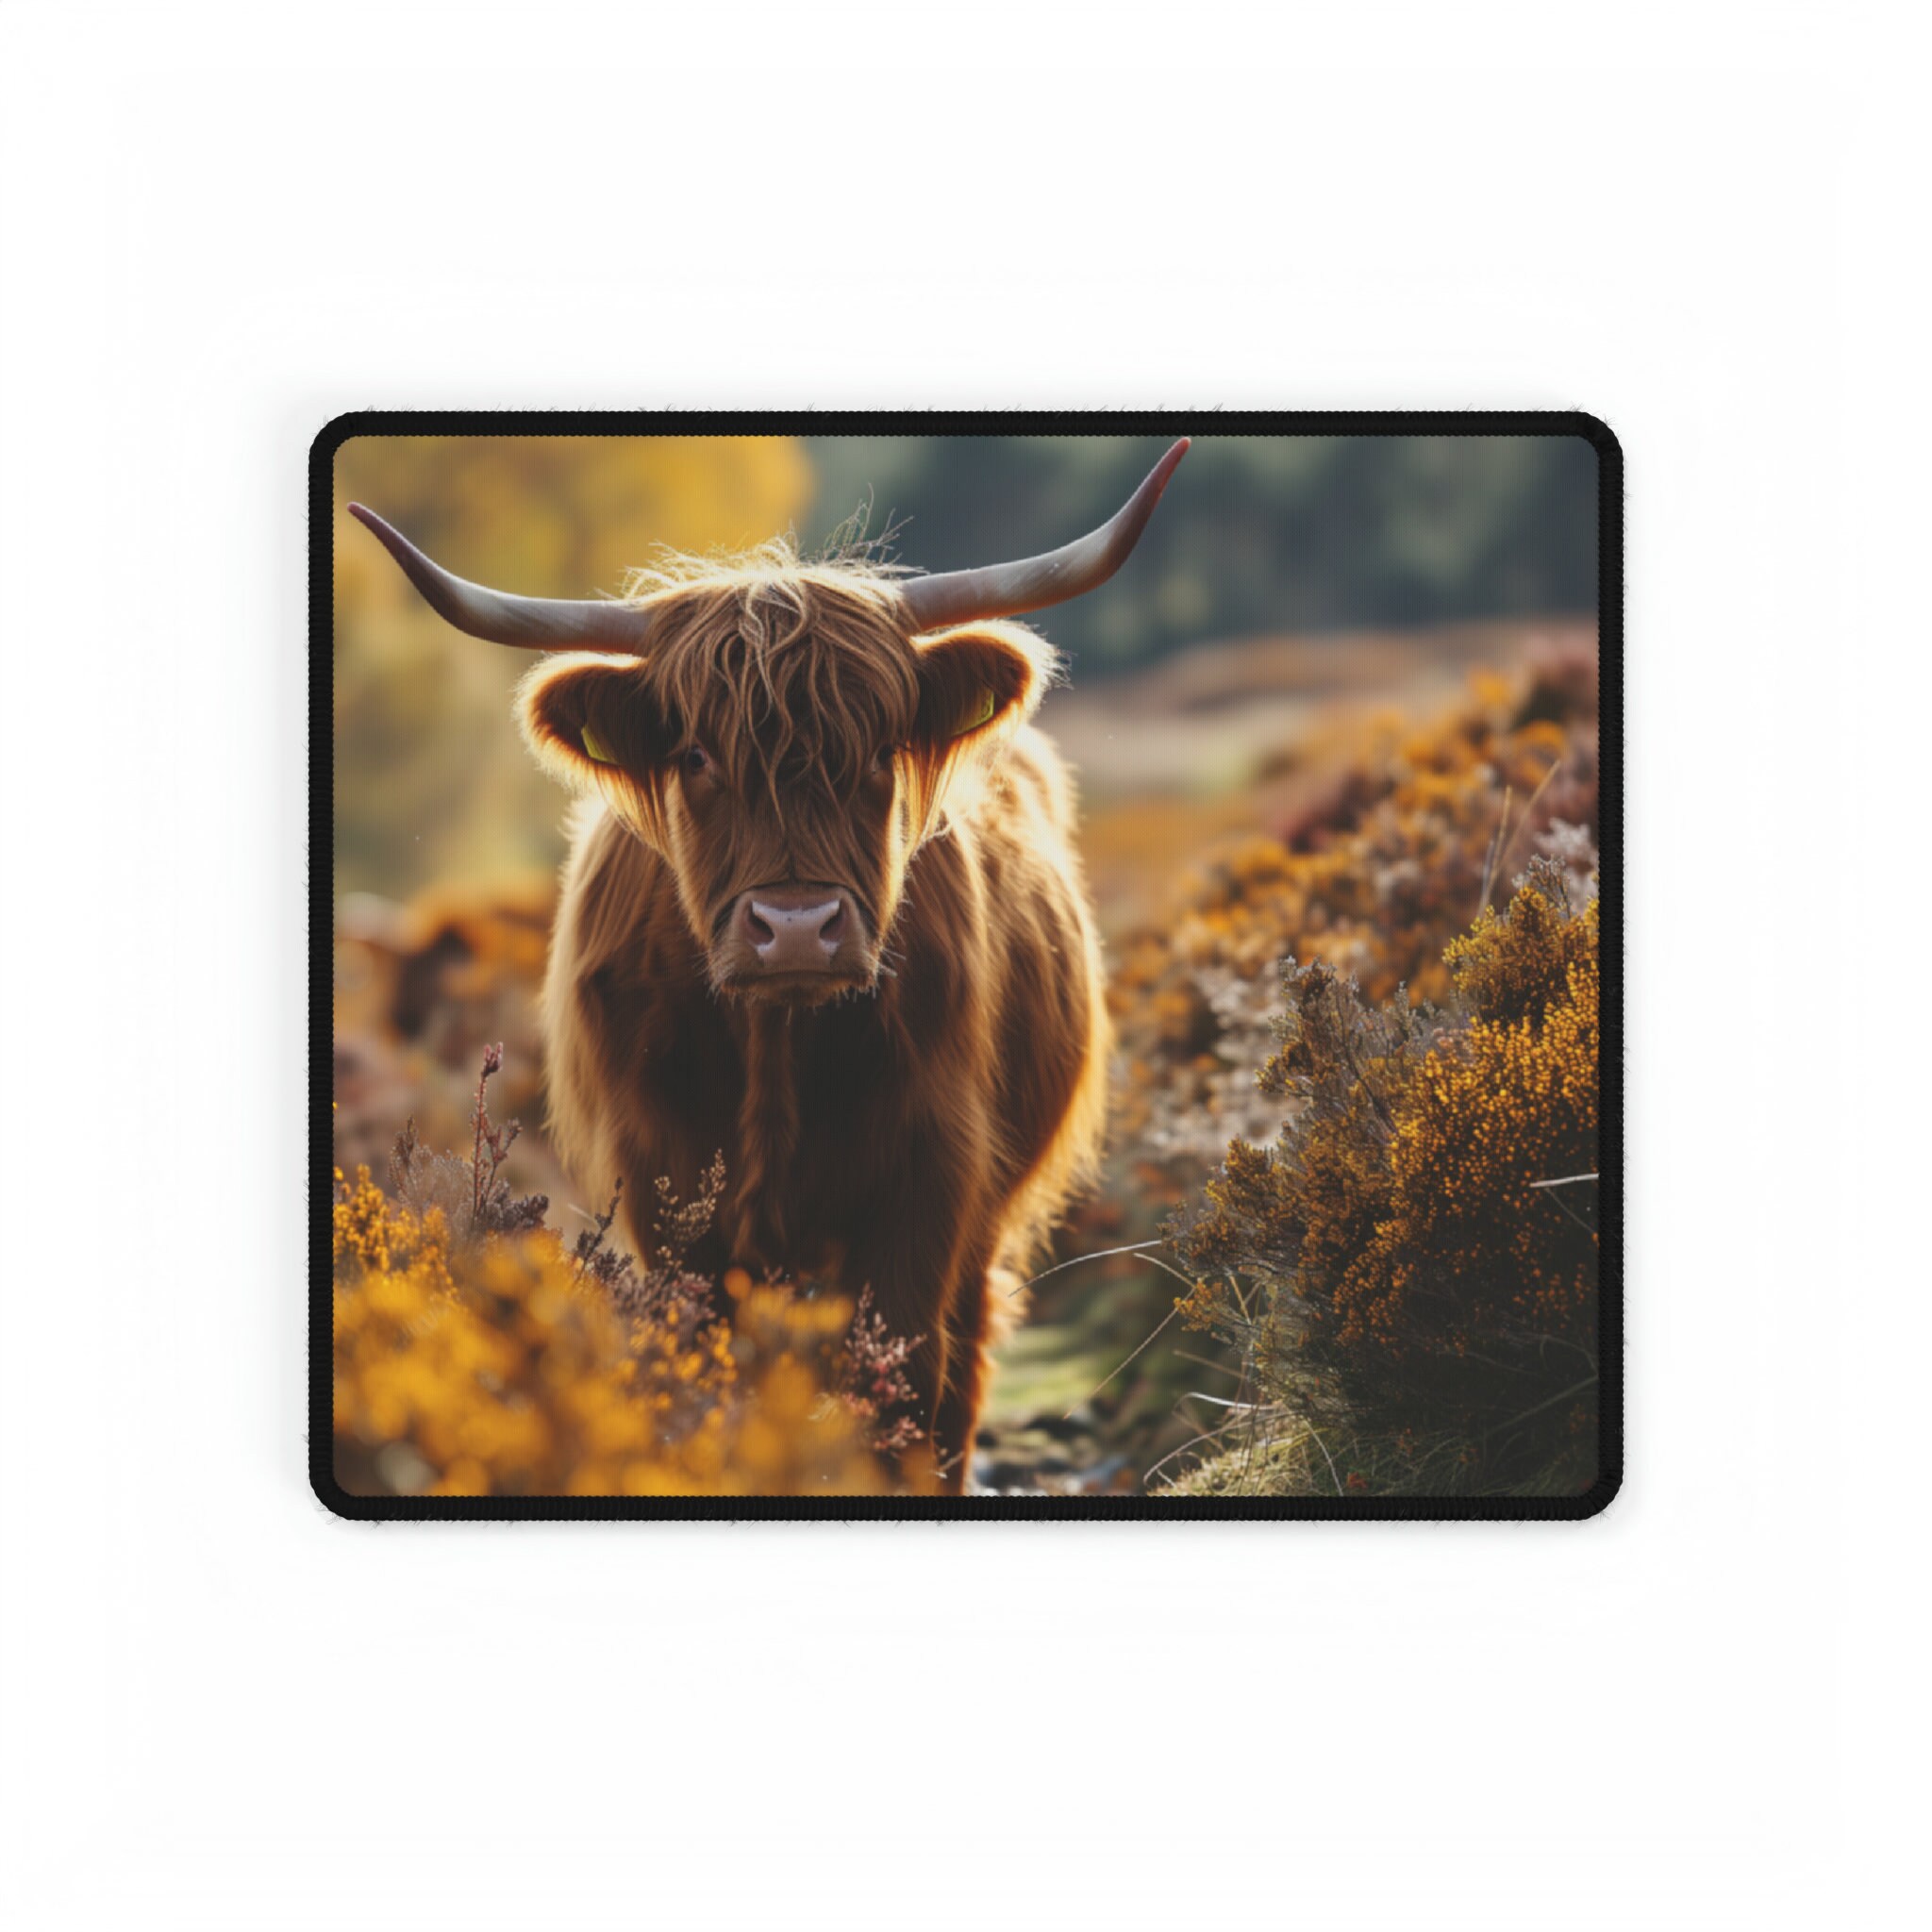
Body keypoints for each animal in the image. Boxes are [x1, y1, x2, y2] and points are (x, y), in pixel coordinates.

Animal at [349, 439, 1189, 1491]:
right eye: (697, 756)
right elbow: (711, 1381)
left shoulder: (929, 1174)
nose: (795, 928)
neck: (773, 1043)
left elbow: (902, 1387)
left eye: (879, 750)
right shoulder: (666, 1186)